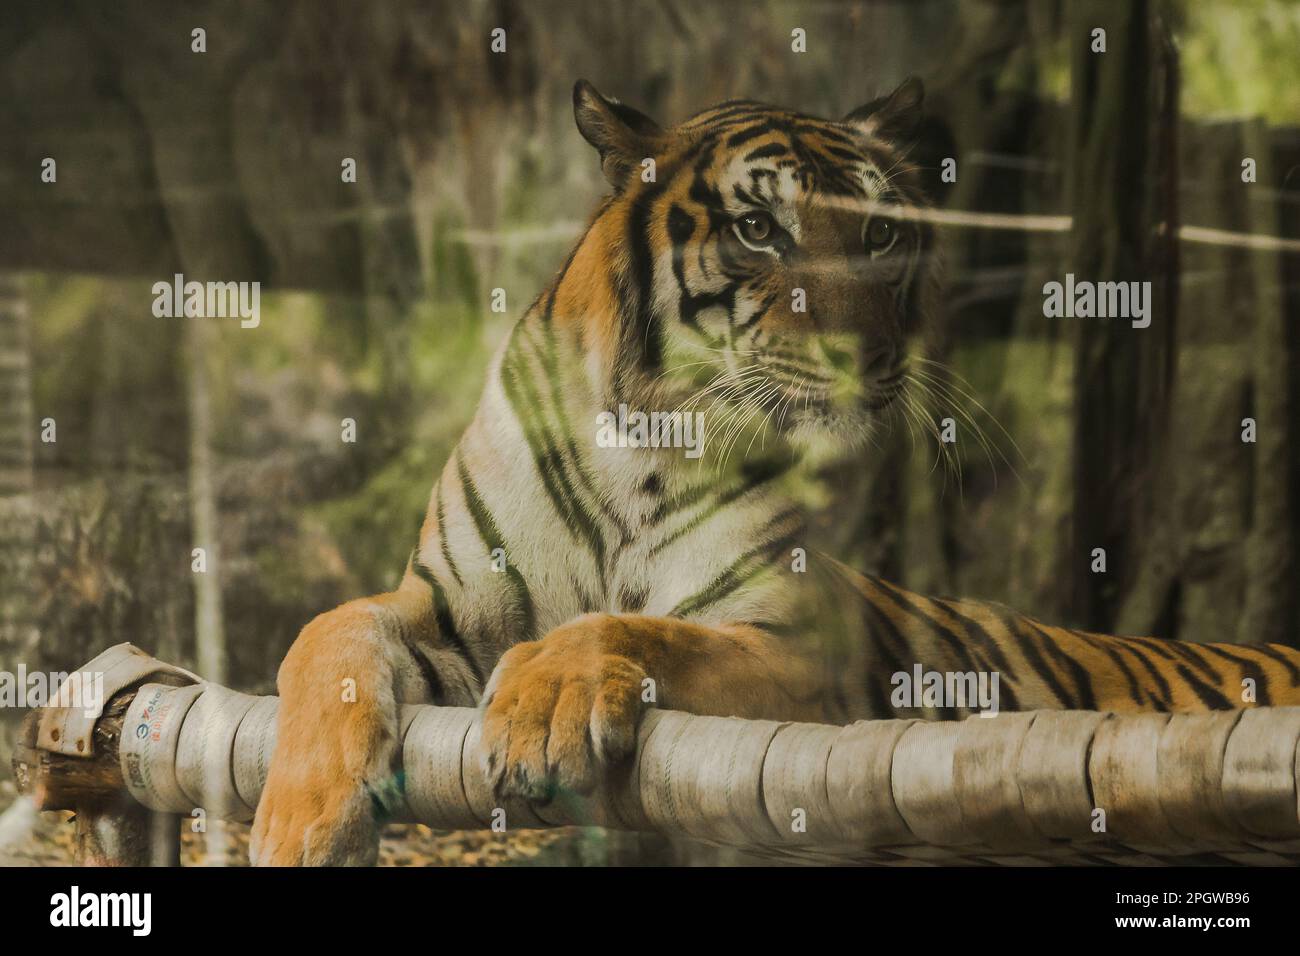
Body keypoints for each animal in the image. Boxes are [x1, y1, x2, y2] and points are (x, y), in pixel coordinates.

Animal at [249, 77, 1300, 865]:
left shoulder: (795, 641)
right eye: (759, 230)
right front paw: (299, 827)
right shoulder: (445, 607)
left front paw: (544, 701)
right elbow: (324, 635)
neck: (642, 438)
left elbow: (638, 628)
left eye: (880, 235)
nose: (870, 356)